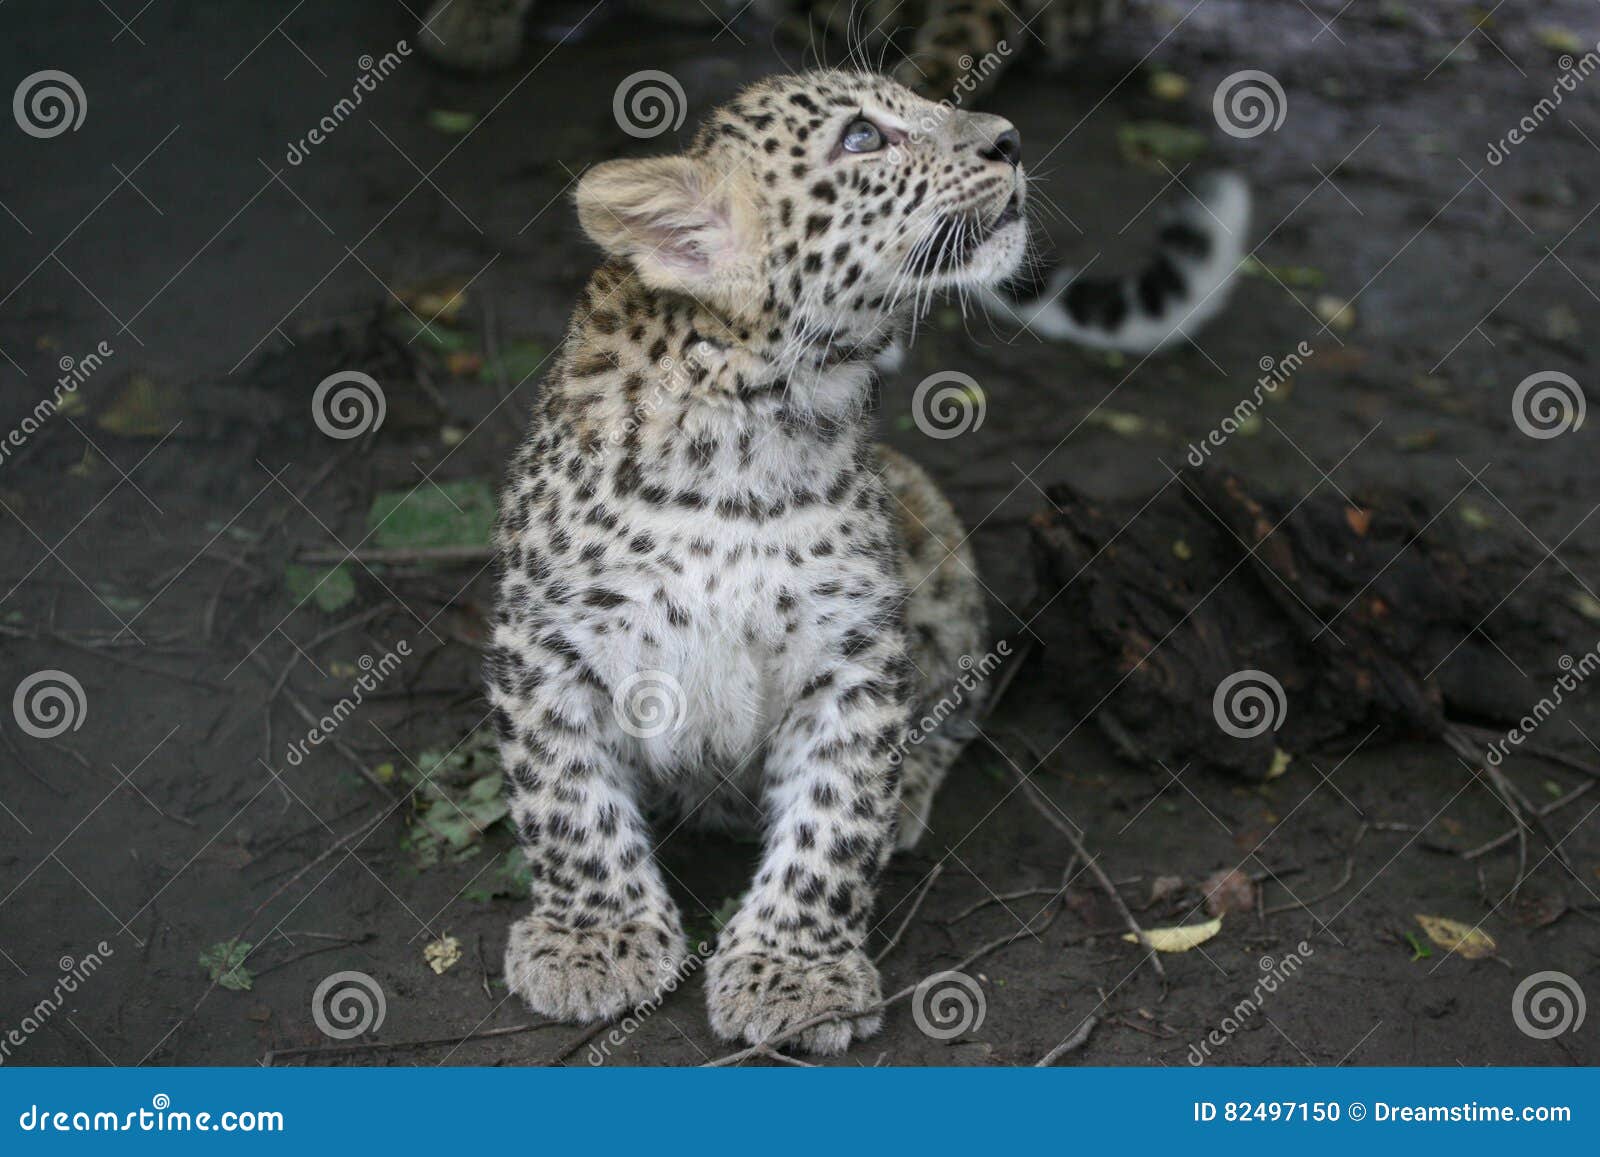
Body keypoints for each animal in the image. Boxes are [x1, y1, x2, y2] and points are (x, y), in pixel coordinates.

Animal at [487, 69, 1026, 1054]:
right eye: (862, 138)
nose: (1009, 139)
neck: (762, 419)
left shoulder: (853, 654)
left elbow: (834, 820)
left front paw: (796, 971)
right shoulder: (545, 644)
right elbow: (567, 799)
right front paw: (595, 940)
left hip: (932, 530)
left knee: (959, 704)